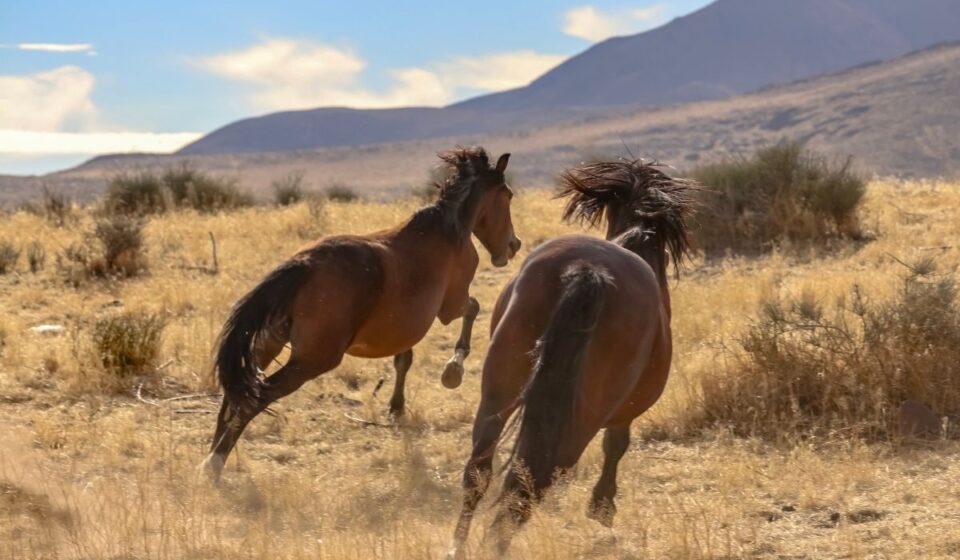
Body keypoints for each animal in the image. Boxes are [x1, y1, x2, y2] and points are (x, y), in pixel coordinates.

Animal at [206, 146, 521, 482]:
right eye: (508, 194)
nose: (514, 245)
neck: (449, 231)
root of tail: (303, 266)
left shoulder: (404, 327)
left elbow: (403, 359)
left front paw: (397, 408)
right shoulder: (450, 306)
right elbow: (473, 308)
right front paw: (453, 370)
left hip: (270, 343)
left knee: (234, 395)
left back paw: (212, 456)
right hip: (313, 359)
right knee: (255, 398)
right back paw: (213, 464)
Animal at [449, 158, 697, 556]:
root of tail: (586, 272)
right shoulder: (624, 409)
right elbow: (617, 443)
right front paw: (602, 505)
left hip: (498, 391)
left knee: (479, 470)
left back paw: (457, 546)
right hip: (582, 418)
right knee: (528, 486)